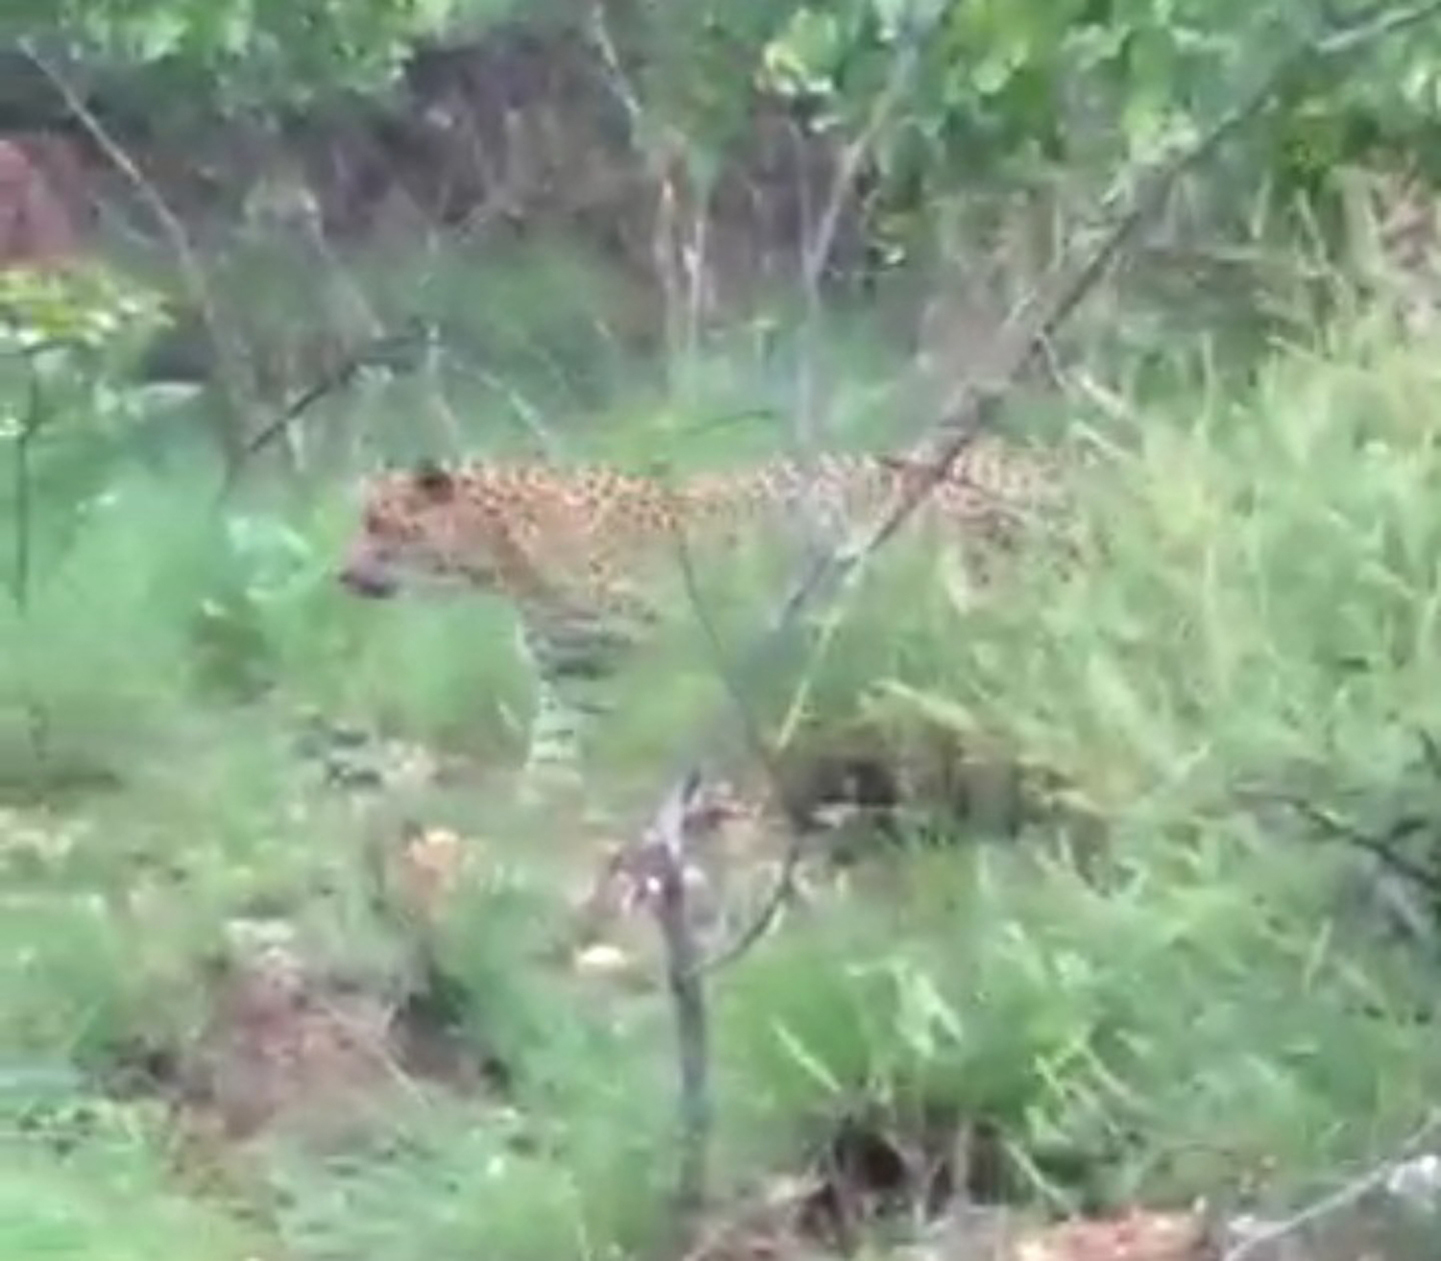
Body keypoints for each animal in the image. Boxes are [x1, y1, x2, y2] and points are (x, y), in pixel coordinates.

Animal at [337, 437, 1074, 796]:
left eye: (380, 525)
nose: (340, 575)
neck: (505, 564)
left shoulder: (681, 648)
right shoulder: (575, 675)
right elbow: (550, 750)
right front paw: (535, 810)